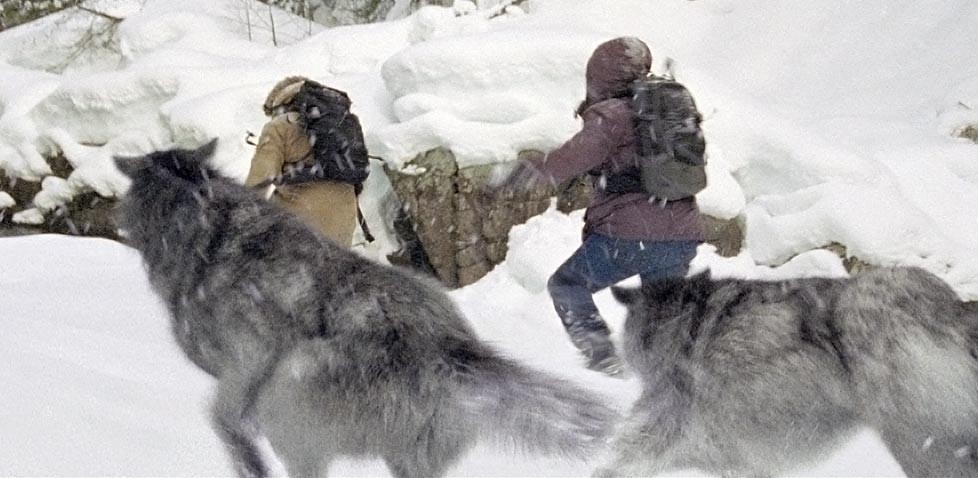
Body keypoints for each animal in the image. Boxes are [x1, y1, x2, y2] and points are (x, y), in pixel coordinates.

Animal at [114, 140, 619, 478]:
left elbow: (224, 423)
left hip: (293, 393)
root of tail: (452, 351)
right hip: (413, 459)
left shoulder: (247, 363)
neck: (205, 226)